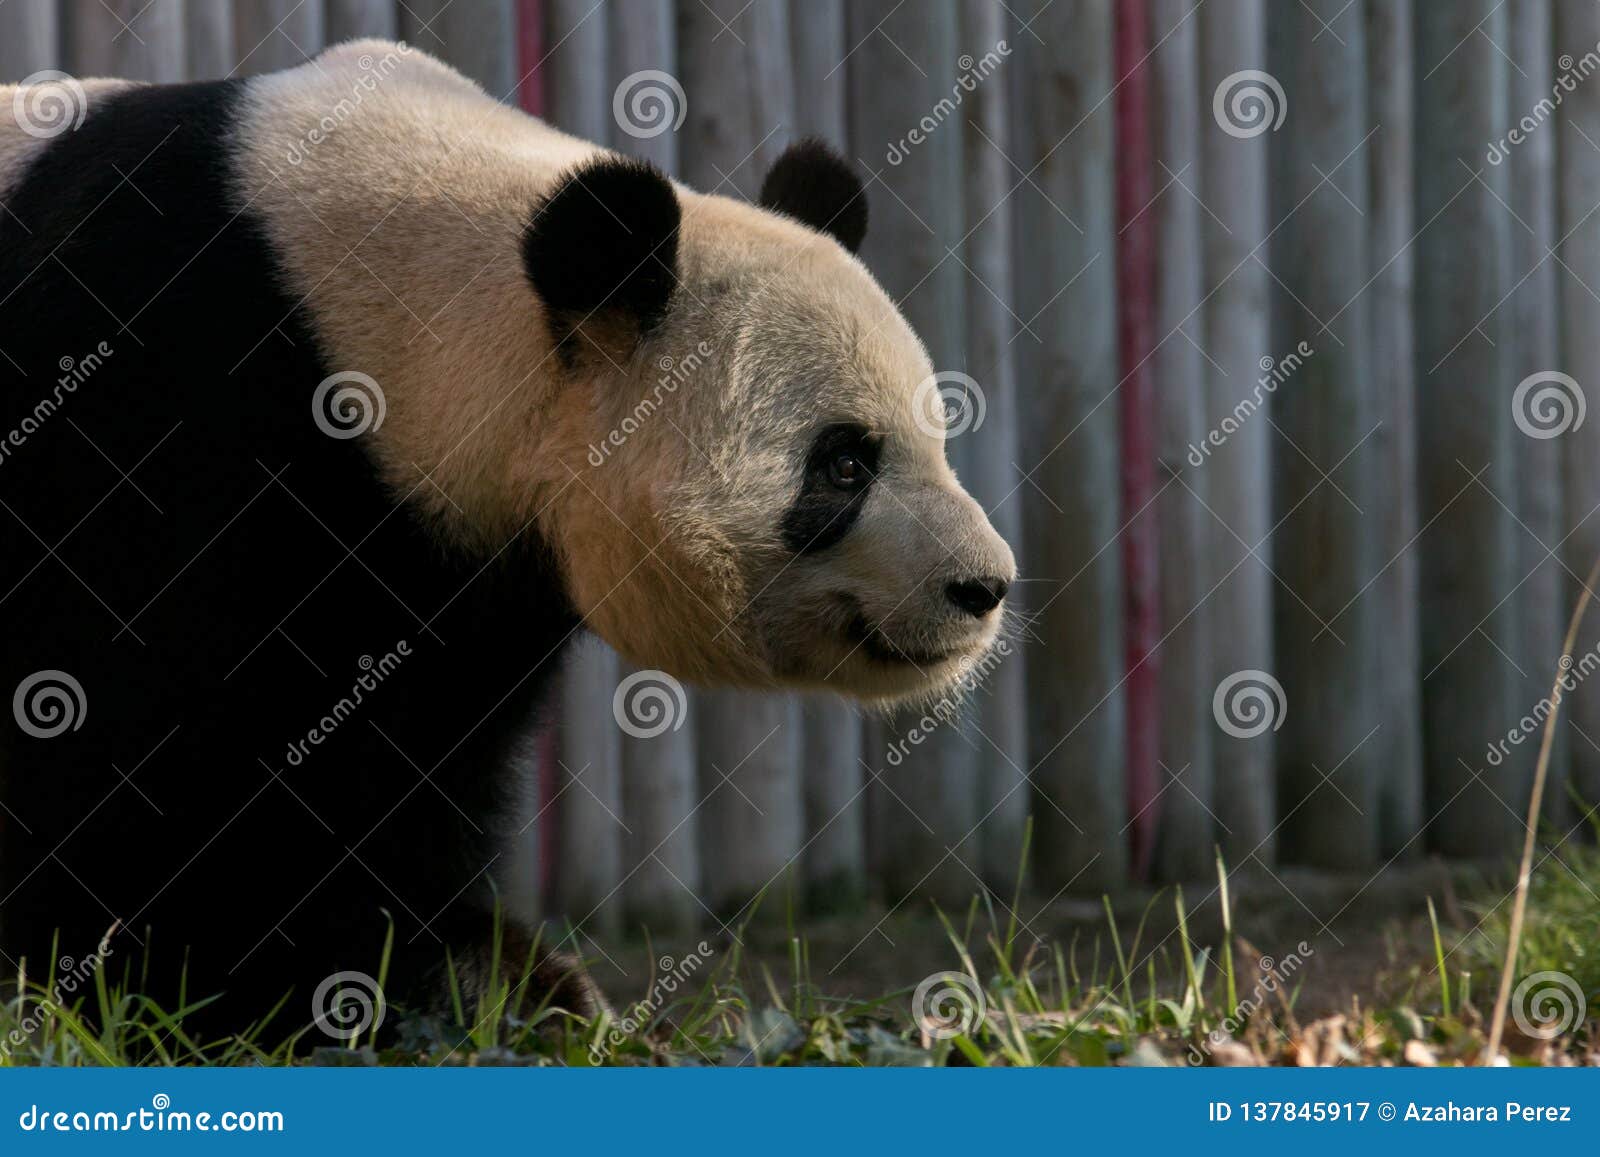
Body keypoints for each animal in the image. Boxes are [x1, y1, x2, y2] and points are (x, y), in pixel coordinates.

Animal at [0, 41, 1015, 1033]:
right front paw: (178, 984)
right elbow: (121, 732)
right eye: (843, 463)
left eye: (936, 432)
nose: (983, 586)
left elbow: (402, 762)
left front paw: (473, 973)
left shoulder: (455, 564)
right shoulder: (163, 408)